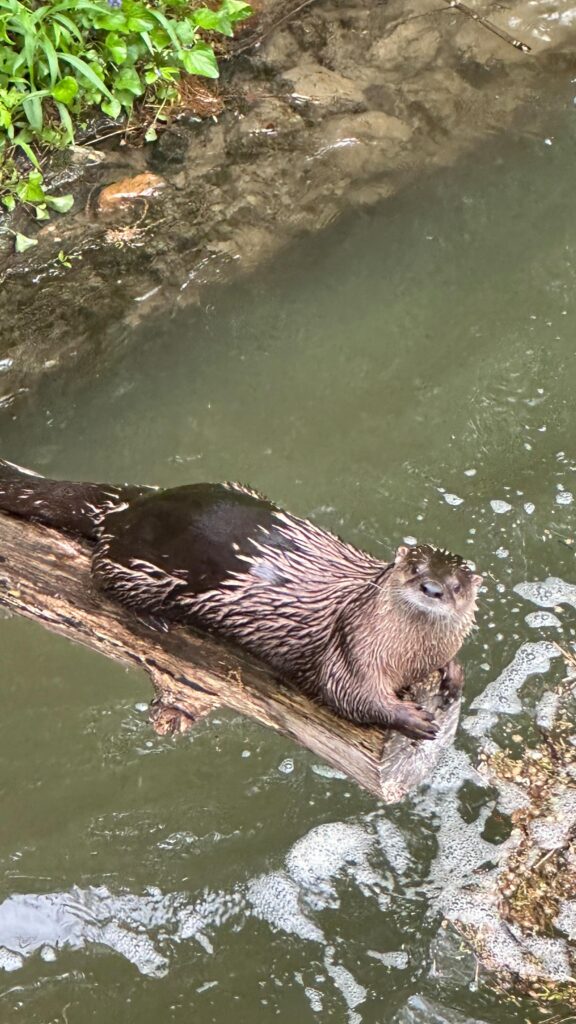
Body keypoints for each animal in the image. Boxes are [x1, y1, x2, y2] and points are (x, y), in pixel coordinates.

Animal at [0, 460, 481, 740]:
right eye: (414, 568)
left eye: (456, 585)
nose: (433, 589)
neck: (409, 654)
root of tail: (134, 507)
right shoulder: (349, 650)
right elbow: (350, 695)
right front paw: (410, 719)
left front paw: (453, 674)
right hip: (143, 566)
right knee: (100, 574)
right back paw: (154, 619)